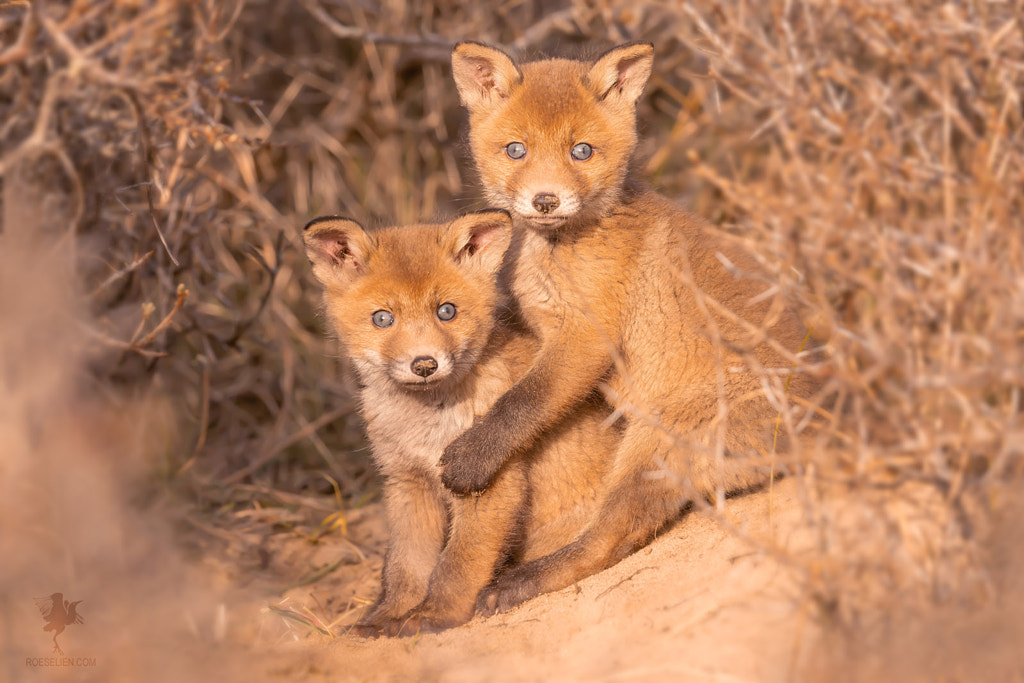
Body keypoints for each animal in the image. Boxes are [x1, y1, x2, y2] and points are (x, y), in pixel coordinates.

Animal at [303, 210, 616, 636]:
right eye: (382, 318)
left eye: (446, 311)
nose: (424, 364)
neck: (424, 426)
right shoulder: (407, 482)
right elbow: (405, 567)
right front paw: (386, 619)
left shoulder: (488, 484)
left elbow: (458, 563)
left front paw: (436, 615)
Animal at [441, 42, 818, 613]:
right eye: (515, 150)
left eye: (581, 151)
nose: (545, 201)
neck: (557, 253)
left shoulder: (586, 339)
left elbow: (520, 403)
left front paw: (471, 458)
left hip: (651, 445)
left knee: (607, 541)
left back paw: (519, 582)